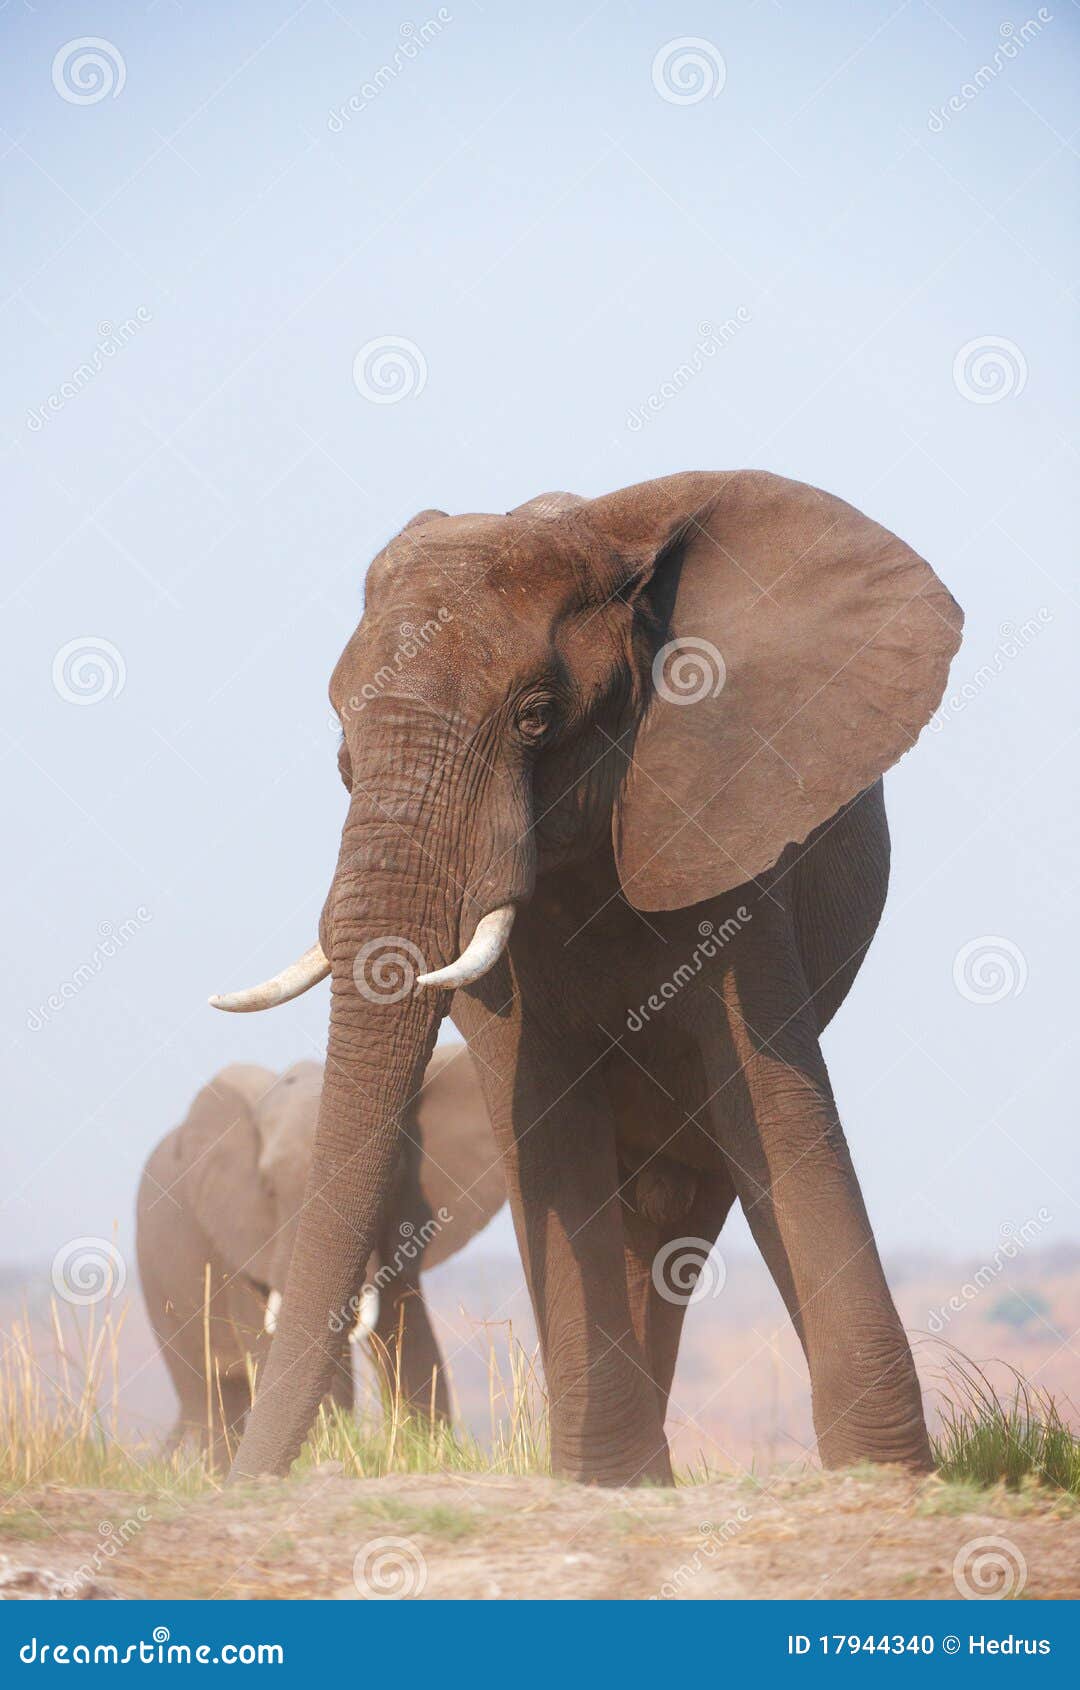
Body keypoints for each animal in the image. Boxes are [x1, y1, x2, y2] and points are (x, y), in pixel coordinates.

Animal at [136, 1044, 504, 1466]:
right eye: (267, 1186)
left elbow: (412, 1339)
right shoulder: (241, 1245)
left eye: (390, 1177)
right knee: (207, 1394)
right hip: (154, 1273)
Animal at [210, 468, 962, 1486]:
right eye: (340, 743)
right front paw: (604, 1479)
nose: (244, 1480)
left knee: (692, 1199)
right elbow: (543, 1114)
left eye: (536, 717)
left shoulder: (730, 828)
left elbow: (772, 1100)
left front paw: (885, 1477)